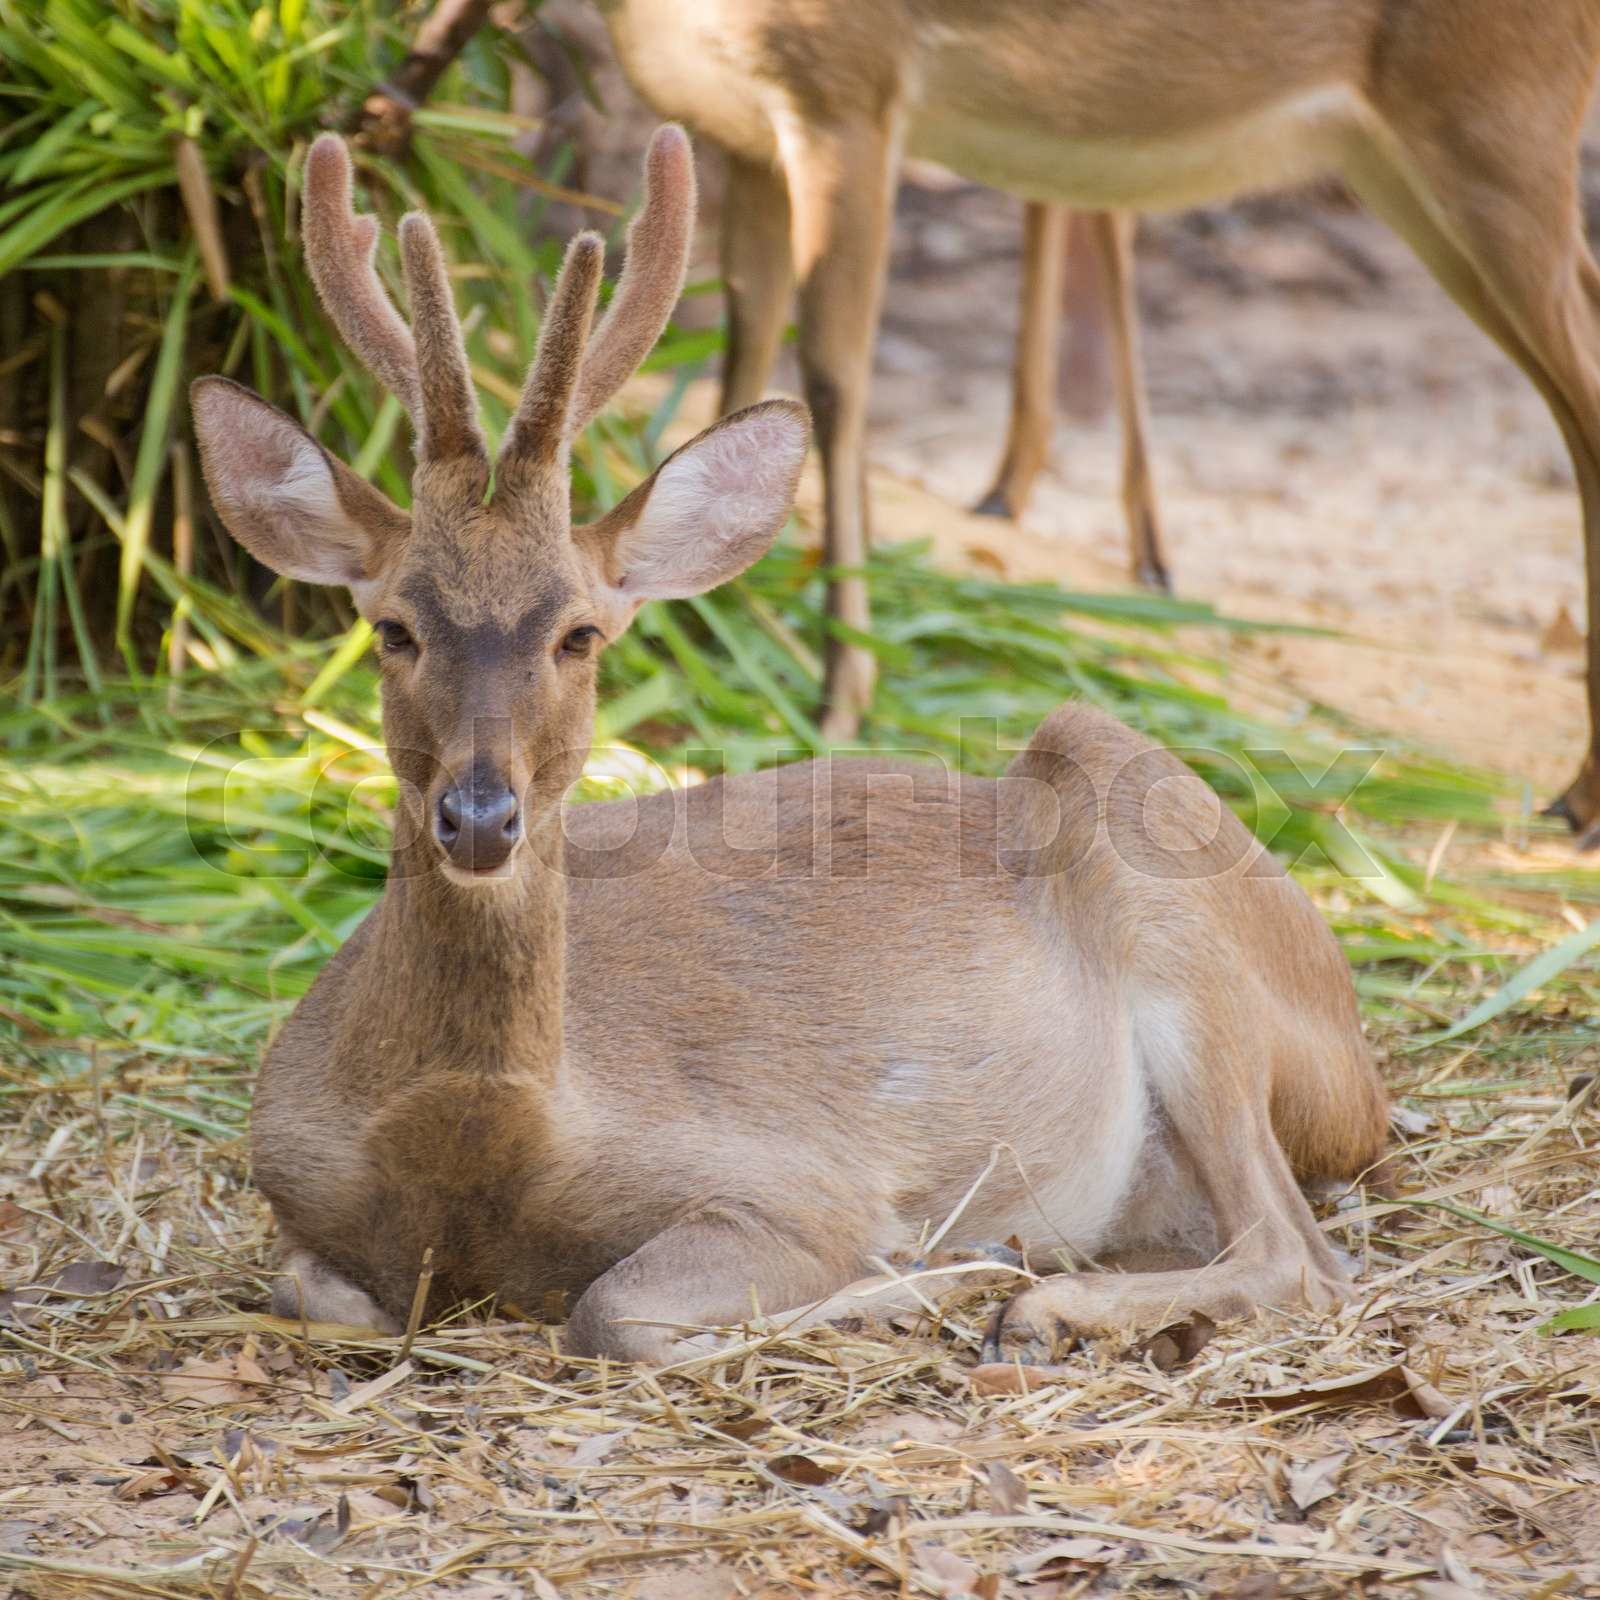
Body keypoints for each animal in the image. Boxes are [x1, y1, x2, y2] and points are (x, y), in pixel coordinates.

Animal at [190, 125, 1388, 1364]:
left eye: (579, 632)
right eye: (393, 627)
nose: (480, 817)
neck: (472, 1139)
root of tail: (1353, 1058)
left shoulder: (787, 1175)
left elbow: (614, 1307)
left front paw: (924, 1274)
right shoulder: (298, 1192)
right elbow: (316, 1291)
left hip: (1165, 889)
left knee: (1299, 1251)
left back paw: (1032, 1300)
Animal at [591, 0, 1600, 843]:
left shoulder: (845, 91)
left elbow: (834, 384)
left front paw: (839, 698)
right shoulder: (743, 135)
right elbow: (742, 358)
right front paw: (713, 646)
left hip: (1495, 122)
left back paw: (1577, 798)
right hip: (1403, 160)